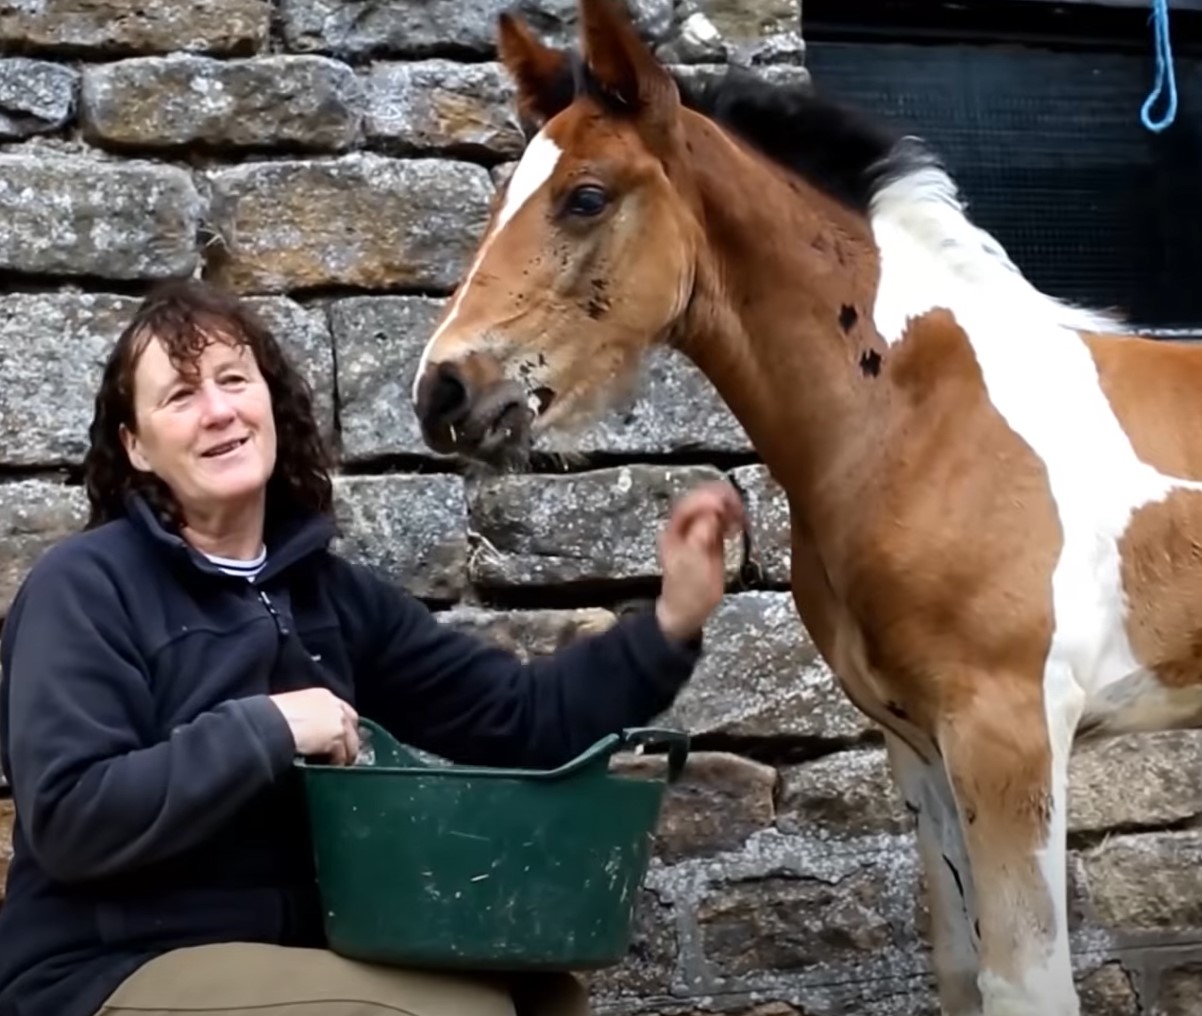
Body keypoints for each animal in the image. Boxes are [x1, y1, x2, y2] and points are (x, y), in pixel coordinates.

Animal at [408, 1, 1202, 1012]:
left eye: (586, 196)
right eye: (503, 195)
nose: (443, 391)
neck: (926, 416)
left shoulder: (1011, 731)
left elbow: (1027, 984)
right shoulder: (920, 746)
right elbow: (962, 971)